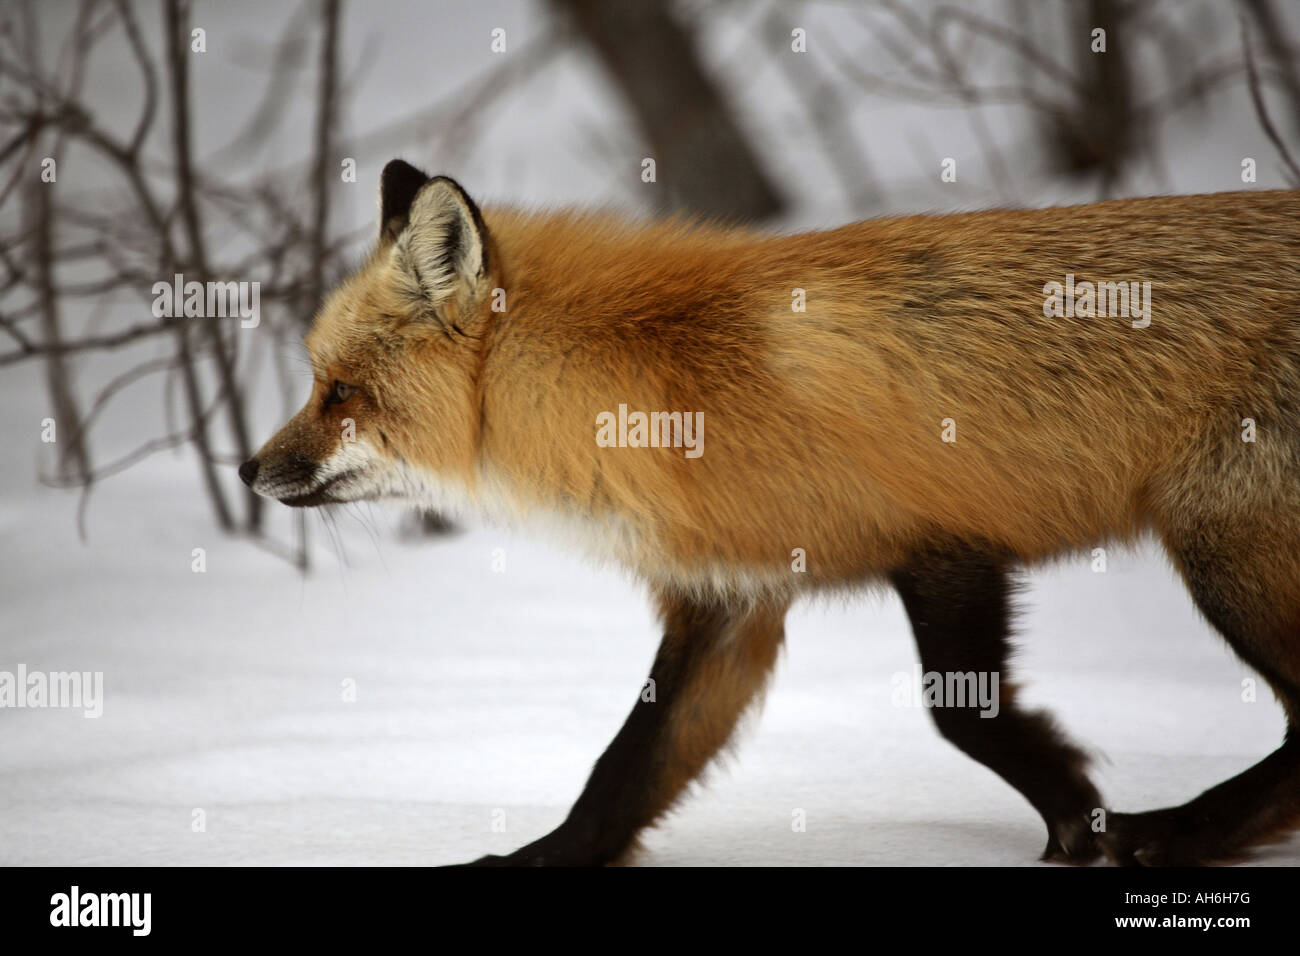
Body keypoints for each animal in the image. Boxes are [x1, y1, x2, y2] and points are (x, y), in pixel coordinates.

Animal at [241, 158, 1300, 866]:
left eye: (340, 393)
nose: (249, 471)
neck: (657, 391)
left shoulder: (941, 541)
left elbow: (962, 717)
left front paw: (1082, 821)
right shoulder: (730, 602)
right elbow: (621, 774)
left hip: (1225, 558)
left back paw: (1182, 835)